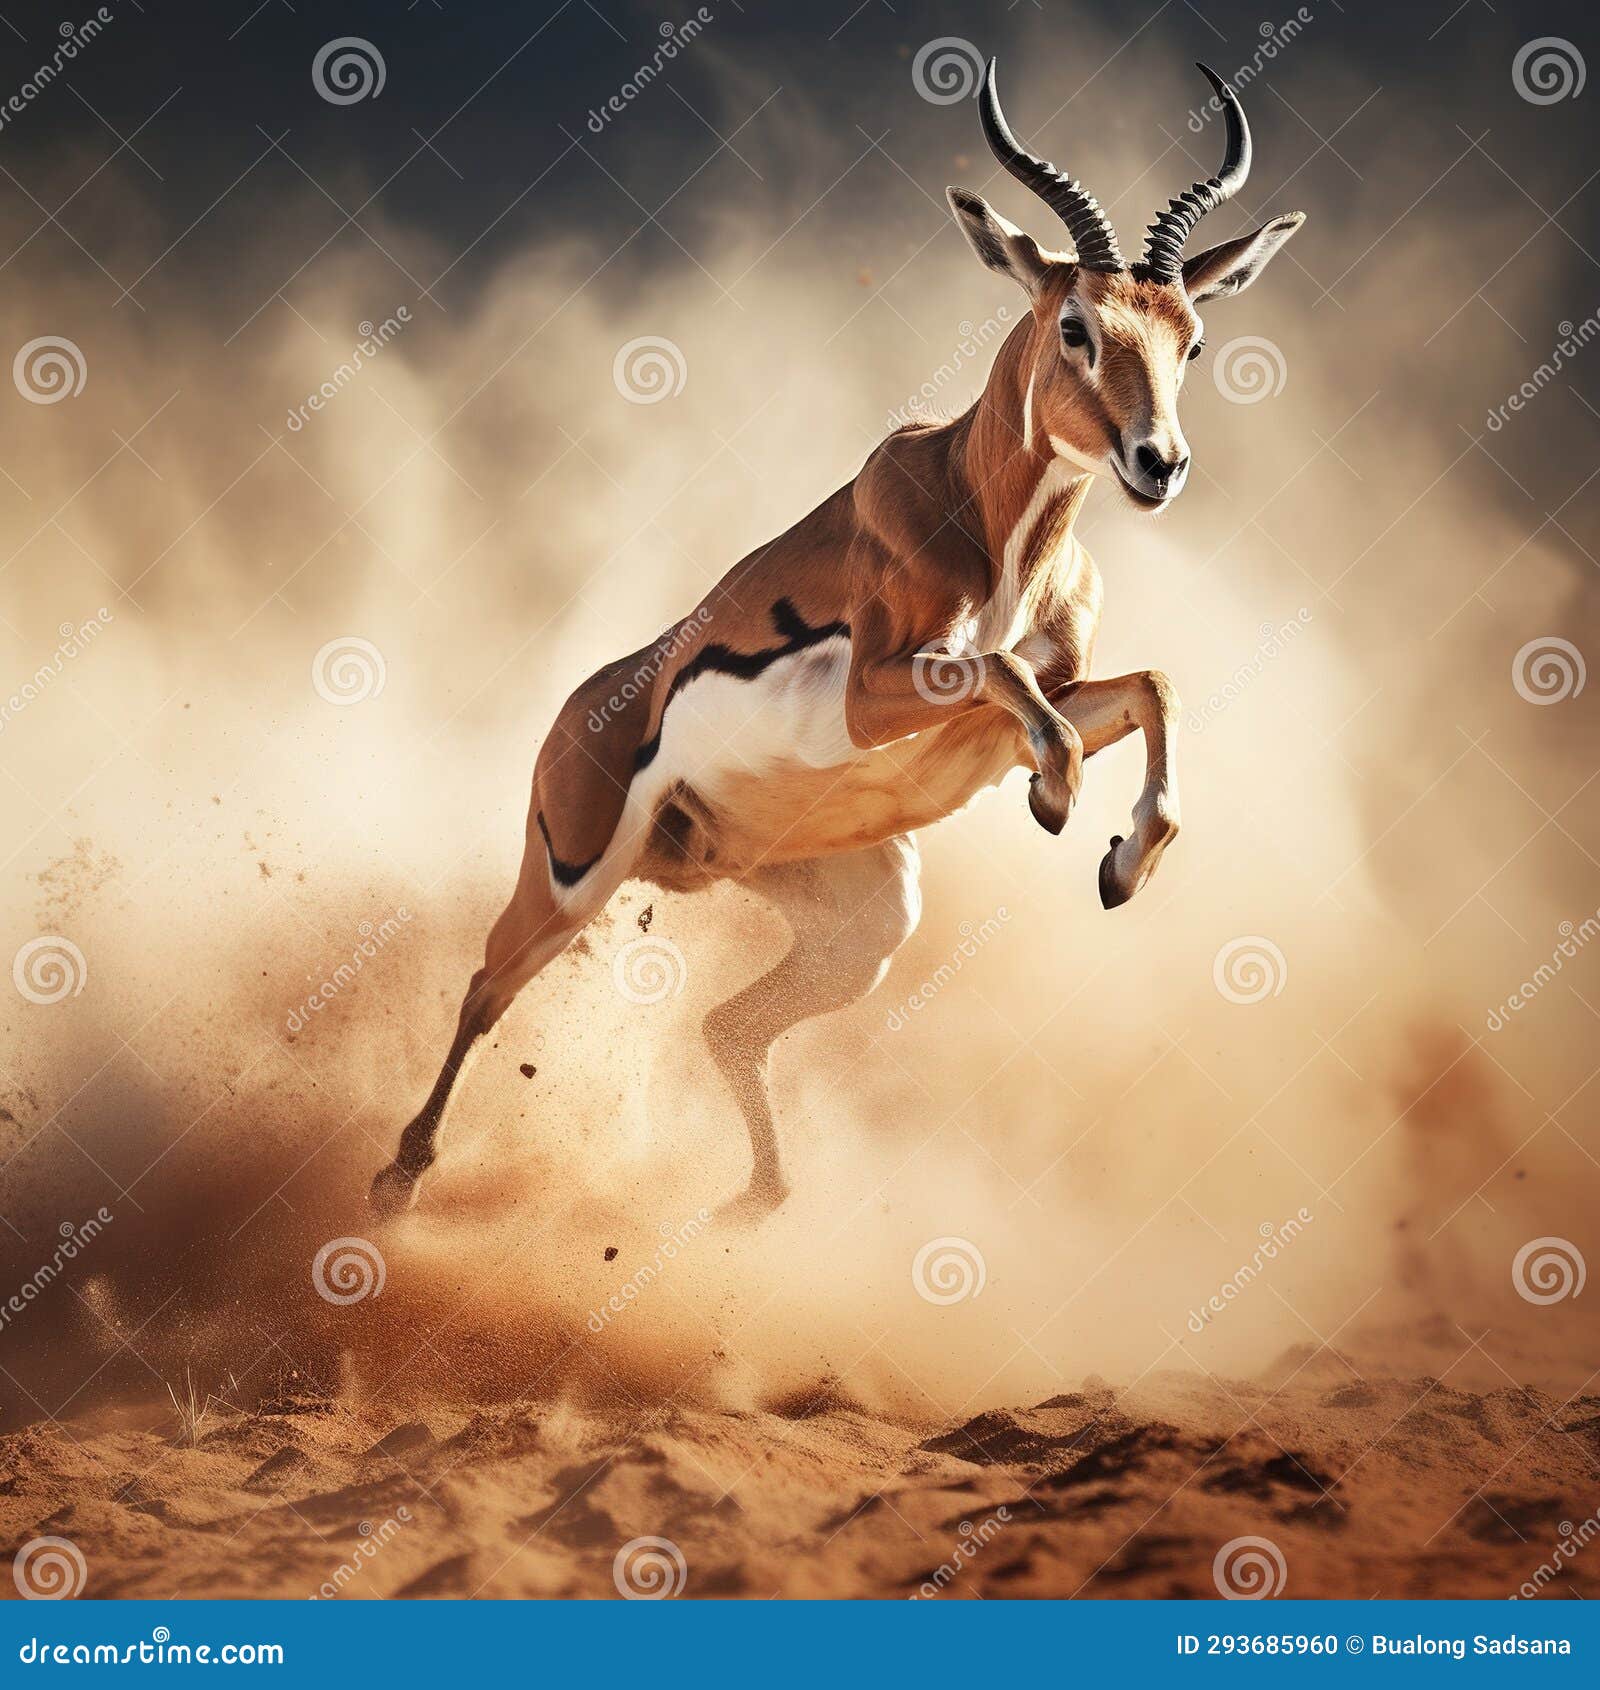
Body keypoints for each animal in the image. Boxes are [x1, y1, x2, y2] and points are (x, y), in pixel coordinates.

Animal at [371, 61, 1304, 1220]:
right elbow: (1009, 671)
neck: (990, 525)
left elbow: (1148, 687)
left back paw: (752, 1206)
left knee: (725, 1025)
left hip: (859, 917)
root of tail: (580, 708)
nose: (1158, 461)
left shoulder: (1008, 721)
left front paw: (1120, 863)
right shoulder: (880, 695)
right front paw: (1059, 803)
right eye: (1077, 325)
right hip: (573, 878)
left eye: (1193, 339)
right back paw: (398, 1179)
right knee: (487, 985)